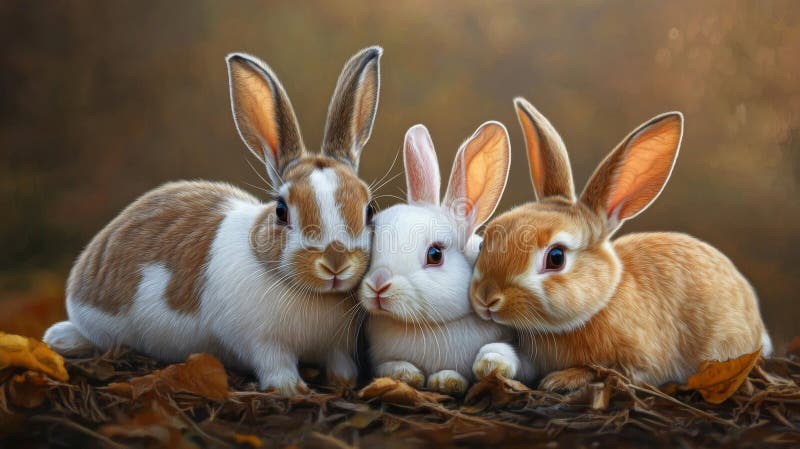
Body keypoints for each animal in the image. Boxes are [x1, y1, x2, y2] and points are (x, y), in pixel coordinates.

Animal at [43, 46, 384, 396]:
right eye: (281, 210)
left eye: (369, 209)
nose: (336, 263)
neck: (311, 294)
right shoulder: (262, 344)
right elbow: (275, 365)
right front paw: (291, 389)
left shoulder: (337, 346)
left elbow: (340, 364)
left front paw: (343, 383)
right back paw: (61, 339)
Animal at [358, 121, 521, 395]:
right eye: (373, 239)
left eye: (435, 254)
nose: (378, 284)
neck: (431, 326)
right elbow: (391, 367)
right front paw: (407, 374)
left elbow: (502, 353)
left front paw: (485, 365)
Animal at [469, 97, 772, 391]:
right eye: (485, 243)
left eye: (556, 257)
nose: (486, 297)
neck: (601, 303)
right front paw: (490, 363)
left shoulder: (641, 363)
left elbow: (606, 372)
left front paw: (561, 379)